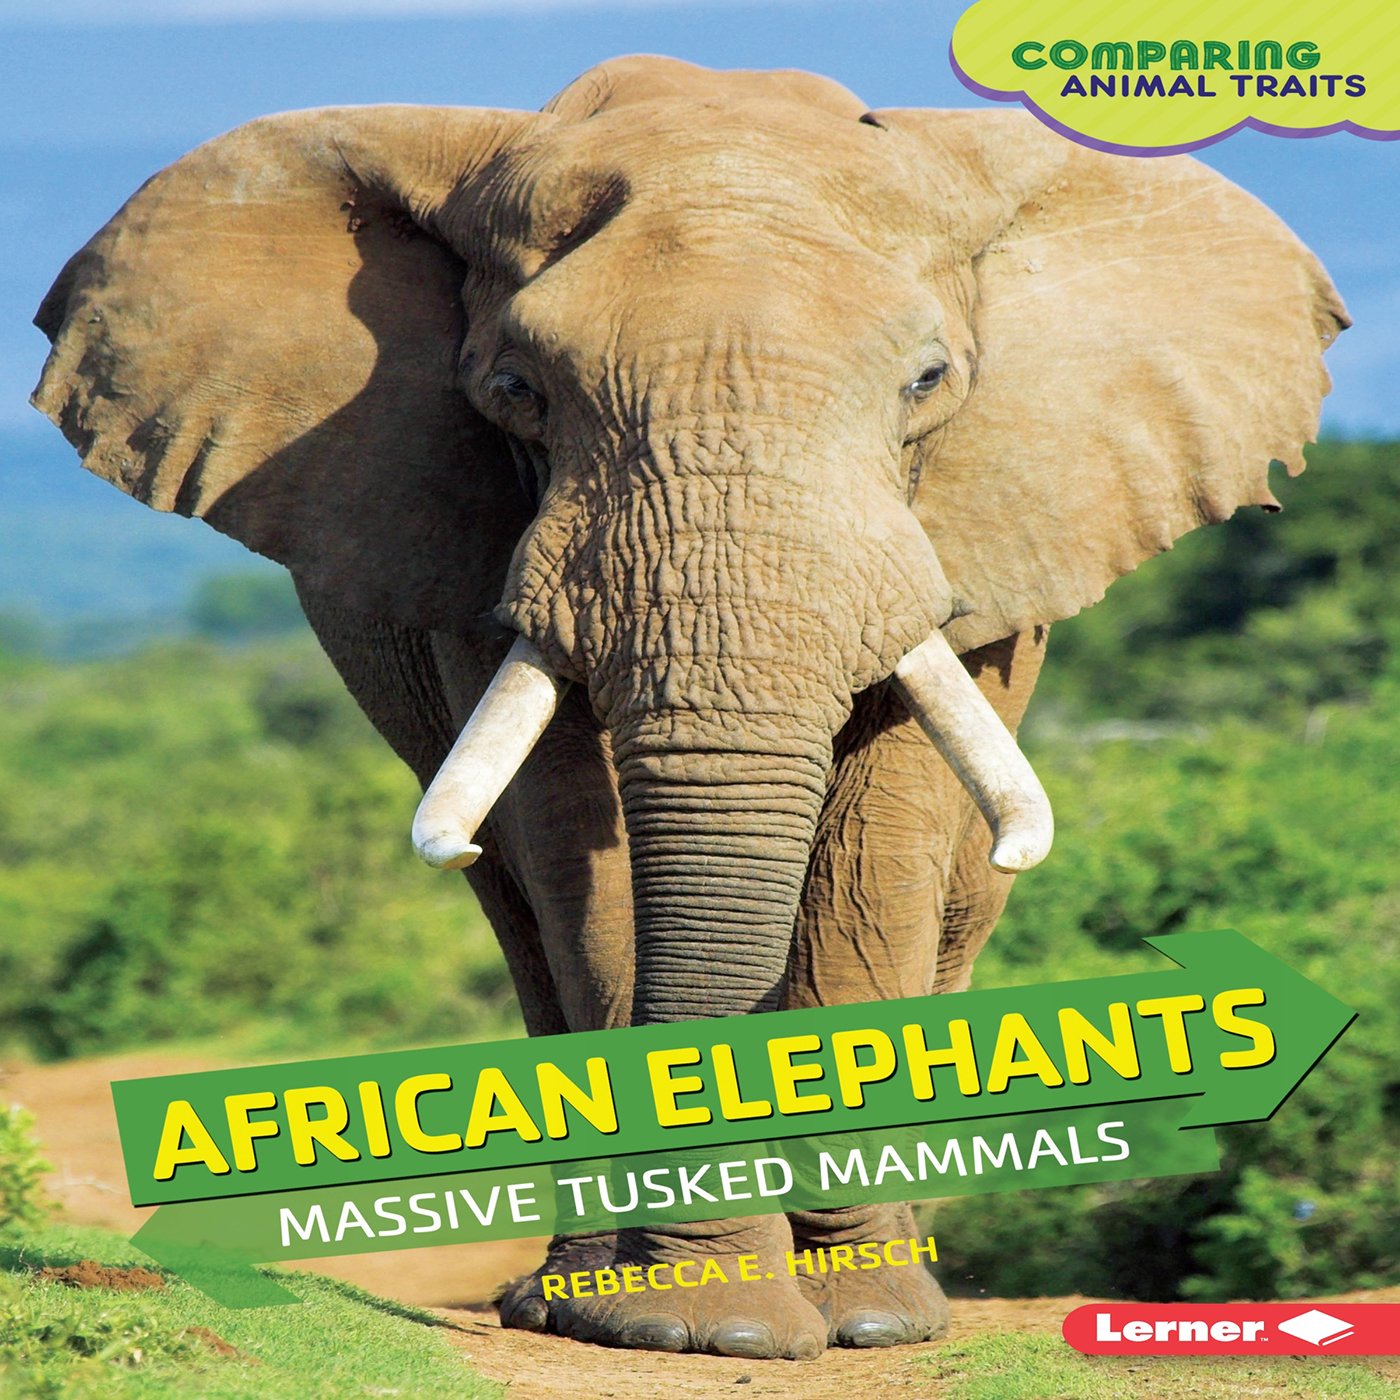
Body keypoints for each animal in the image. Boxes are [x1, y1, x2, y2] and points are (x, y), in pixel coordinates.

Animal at [33, 55, 1345, 1361]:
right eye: (515, 390)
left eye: (927, 383)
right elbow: (579, 855)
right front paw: (690, 1321)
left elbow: (877, 842)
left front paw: (860, 1313)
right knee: (519, 918)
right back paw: (563, 1296)